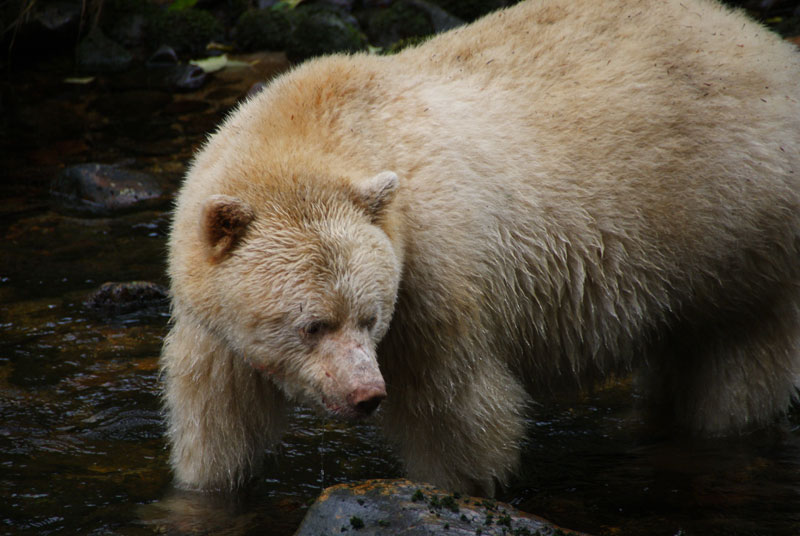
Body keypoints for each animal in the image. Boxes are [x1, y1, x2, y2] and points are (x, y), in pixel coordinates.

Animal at [161, 0, 800, 496]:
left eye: (369, 317)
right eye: (313, 324)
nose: (365, 394)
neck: (315, 133)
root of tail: (769, 45)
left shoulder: (434, 278)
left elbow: (453, 409)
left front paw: (459, 486)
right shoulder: (212, 321)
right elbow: (217, 419)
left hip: (739, 223)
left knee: (739, 360)